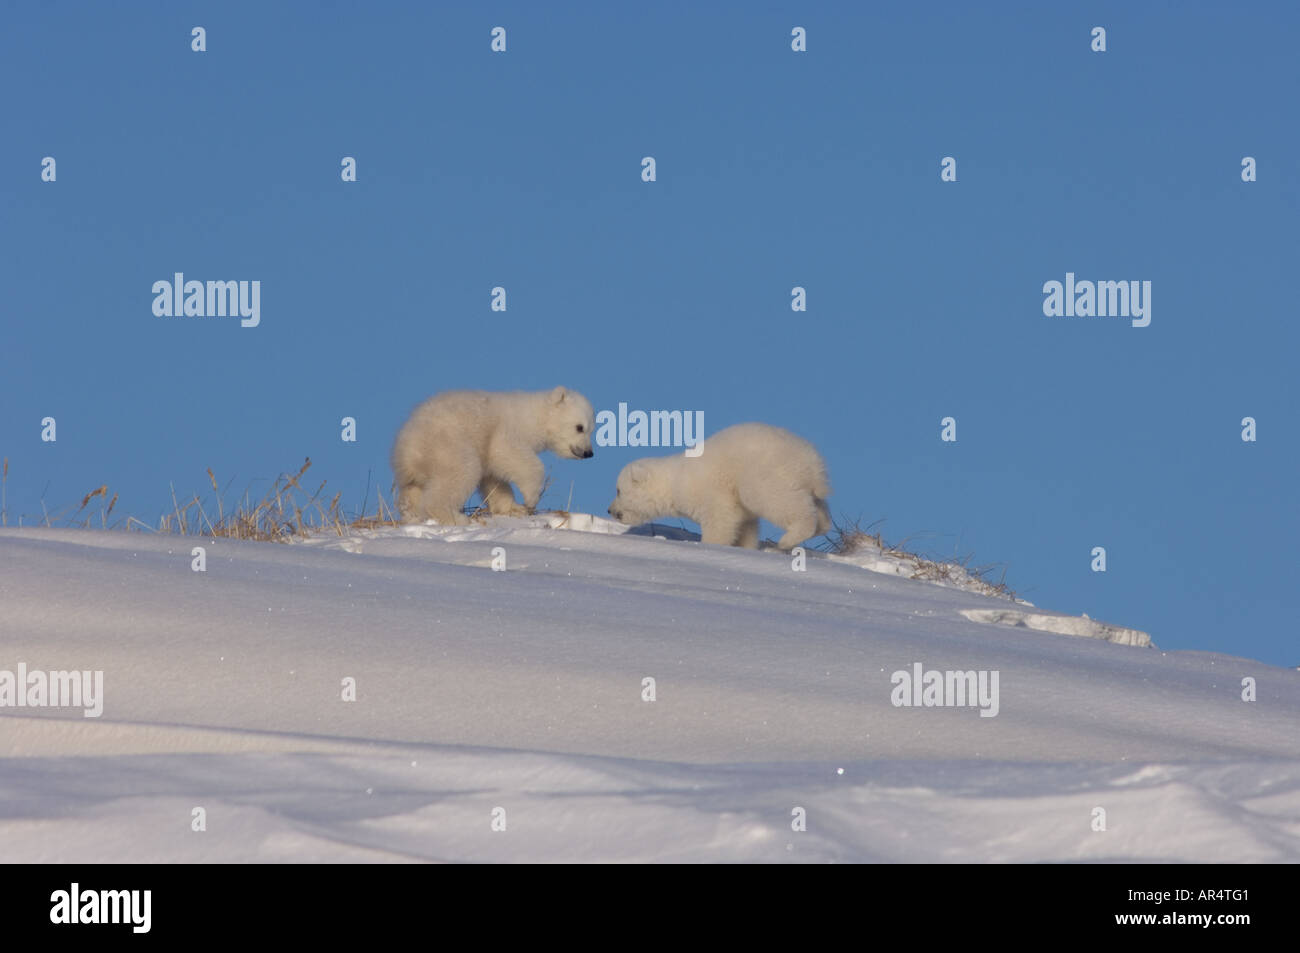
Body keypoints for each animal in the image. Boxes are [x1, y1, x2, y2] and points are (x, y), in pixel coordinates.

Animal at [392, 386, 596, 524]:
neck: (534, 417)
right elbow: (509, 455)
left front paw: (513, 508)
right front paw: (531, 498)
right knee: (462, 471)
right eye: (580, 427)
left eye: (592, 429)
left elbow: (494, 480)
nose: (589, 452)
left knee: (412, 490)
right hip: (448, 444)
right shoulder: (505, 432)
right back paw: (455, 517)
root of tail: (407, 447)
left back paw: (412, 514)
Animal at [607, 422, 831, 550]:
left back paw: (786, 540)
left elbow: (721, 521)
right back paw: (821, 525)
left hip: (763, 473)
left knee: (777, 500)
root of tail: (811, 461)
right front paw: (745, 547)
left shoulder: (711, 493)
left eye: (618, 490)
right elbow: (746, 526)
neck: (674, 482)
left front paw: (710, 545)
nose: (610, 510)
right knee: (816, 503)